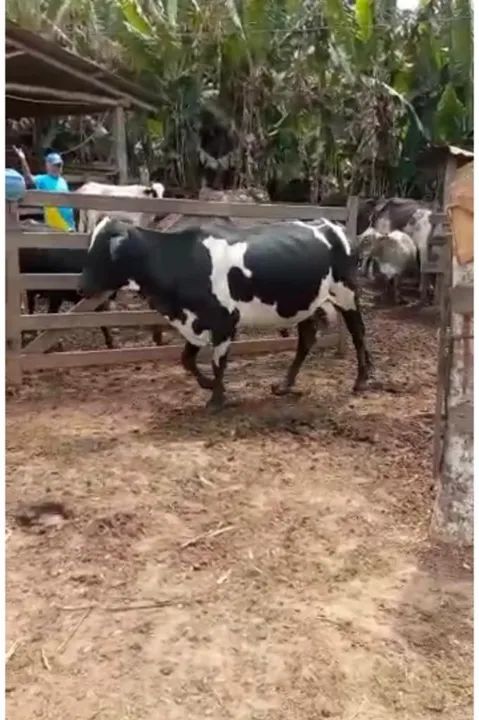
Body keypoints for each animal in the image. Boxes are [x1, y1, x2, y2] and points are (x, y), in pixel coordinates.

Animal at [79, 217, 373, 410]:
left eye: (104, 252)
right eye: (89, 248)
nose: (81, 287)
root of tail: (334, 226)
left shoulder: (225, 321)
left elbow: (218, 361)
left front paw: (216, 399)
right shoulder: (195, 321)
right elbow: (186, 359)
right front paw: (210, 385)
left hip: (346, 293)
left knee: (358, 332)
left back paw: (361, 380)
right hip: (305, 304)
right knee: (307, 340)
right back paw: (284, 385)